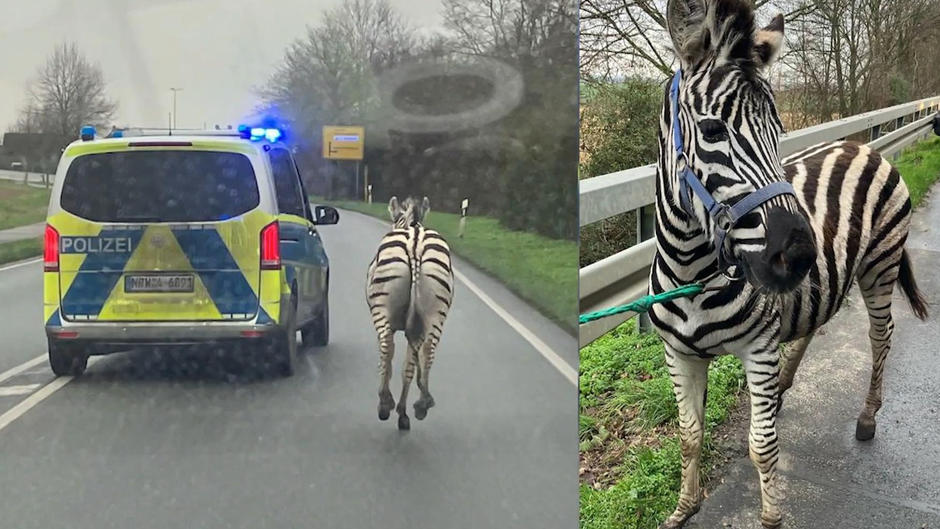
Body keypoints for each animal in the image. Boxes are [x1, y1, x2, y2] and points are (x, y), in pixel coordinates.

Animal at [366, 196, 454, 431]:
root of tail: (416, 243)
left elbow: (388, 362)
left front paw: (393, 408)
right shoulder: (416, 330)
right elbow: (409, 367)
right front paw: (404, 414)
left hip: (382, 309)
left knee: (387, 347)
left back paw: (385, 402)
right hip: (436, 313)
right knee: (428, 351)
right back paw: (423, 403)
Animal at [647, 1, 928, 528]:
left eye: (779, 132)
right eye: (712, 130)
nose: (799, 254)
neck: (692, 274)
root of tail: (862, 144)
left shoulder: (758, 348)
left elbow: (762, 447)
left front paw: (772, 517)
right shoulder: (679, 354)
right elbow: (689, 436)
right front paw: (683, 509)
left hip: (880, 265)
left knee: (881, 337)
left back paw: (867, 416)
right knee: (817, 320)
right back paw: (783, 388)